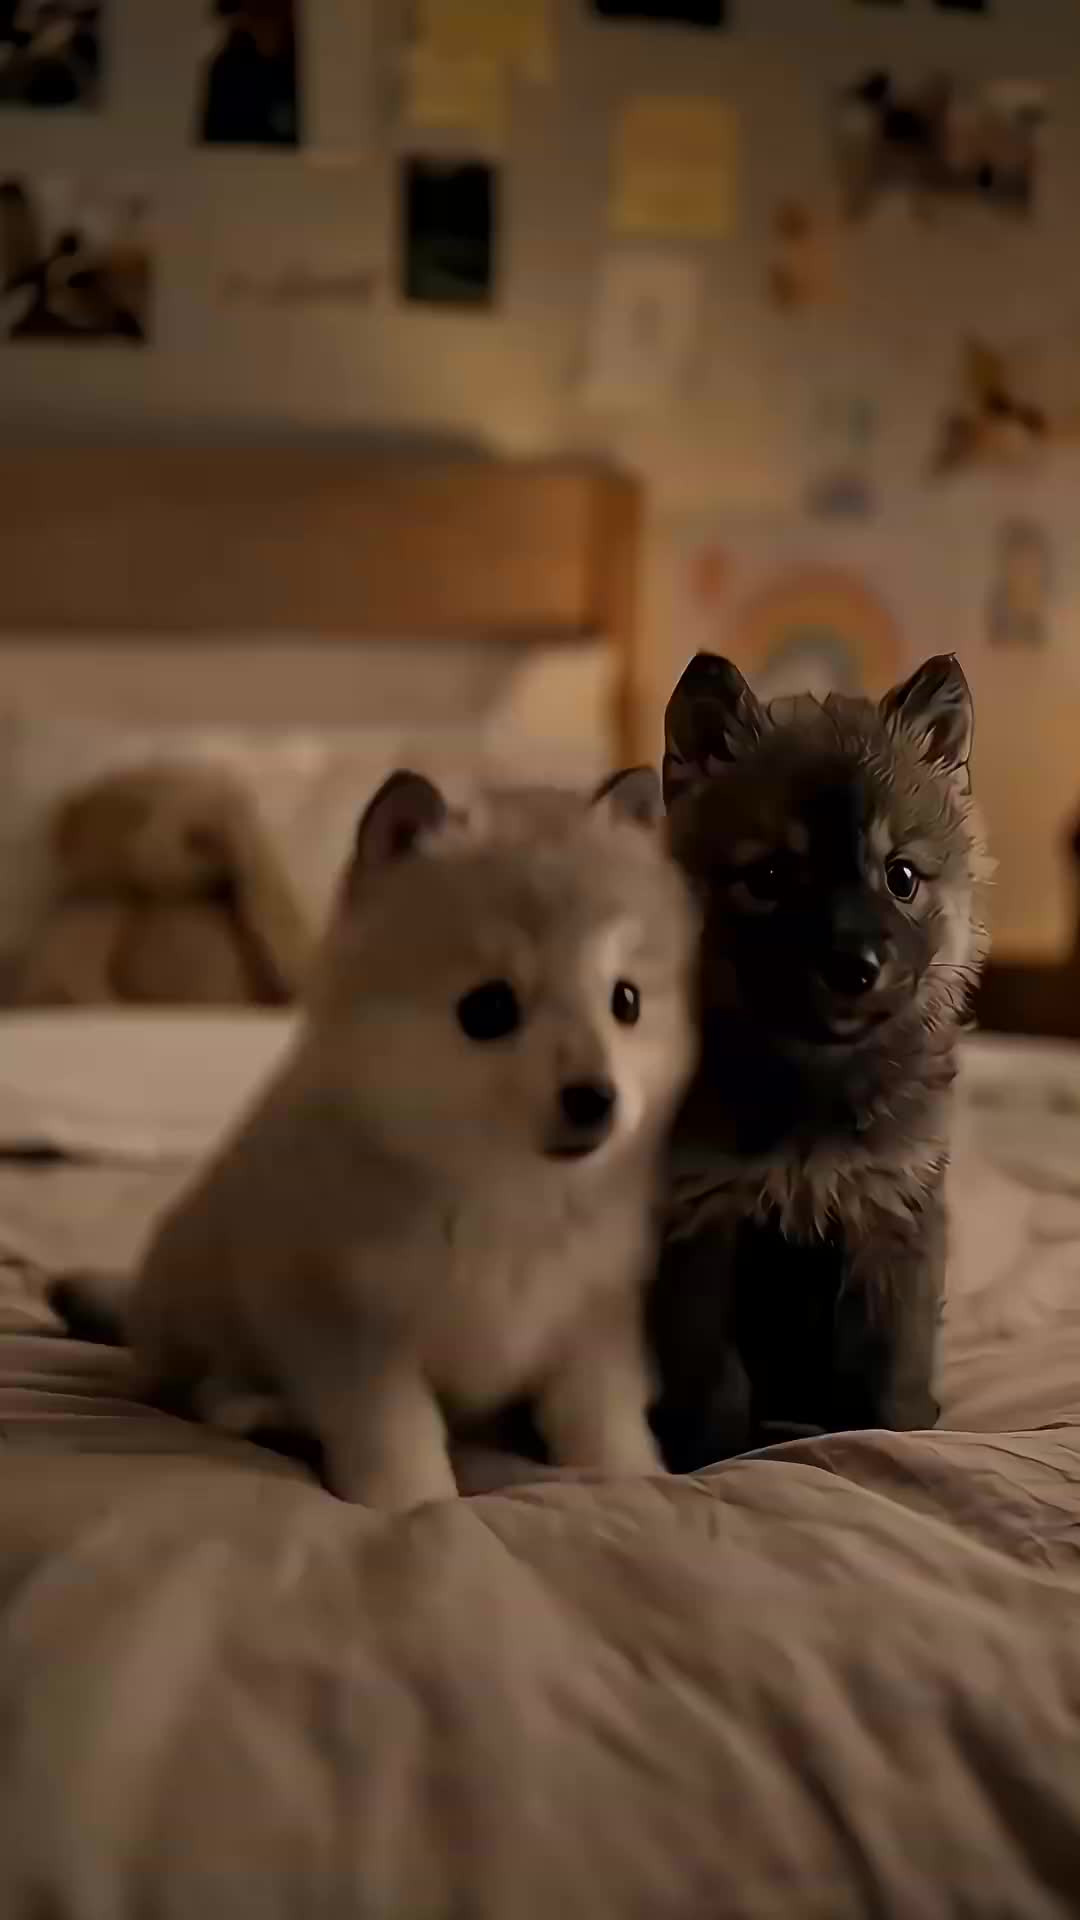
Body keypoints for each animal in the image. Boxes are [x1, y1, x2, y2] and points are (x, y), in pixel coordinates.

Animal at [55, 767, 697, 1510]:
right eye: (489, 1008)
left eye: (626, 1001)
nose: (596, 1096)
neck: (507, 1194)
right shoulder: (351, 1329)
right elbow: (395, 1431)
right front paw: (413, 1502)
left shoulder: (595, 1319)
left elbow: (601, 1415)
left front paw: (634, 1477)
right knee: (206, 1387)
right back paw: (263, 1409)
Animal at [647, 653, 991, 1471]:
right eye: (769, 877)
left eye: (902, 876)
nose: (853, 967)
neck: (812, 1075)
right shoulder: (701, 1226)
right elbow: (713, 1379)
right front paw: (705, 1461)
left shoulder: (891, 1220)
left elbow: (889, 1373)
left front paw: (896, 1438)